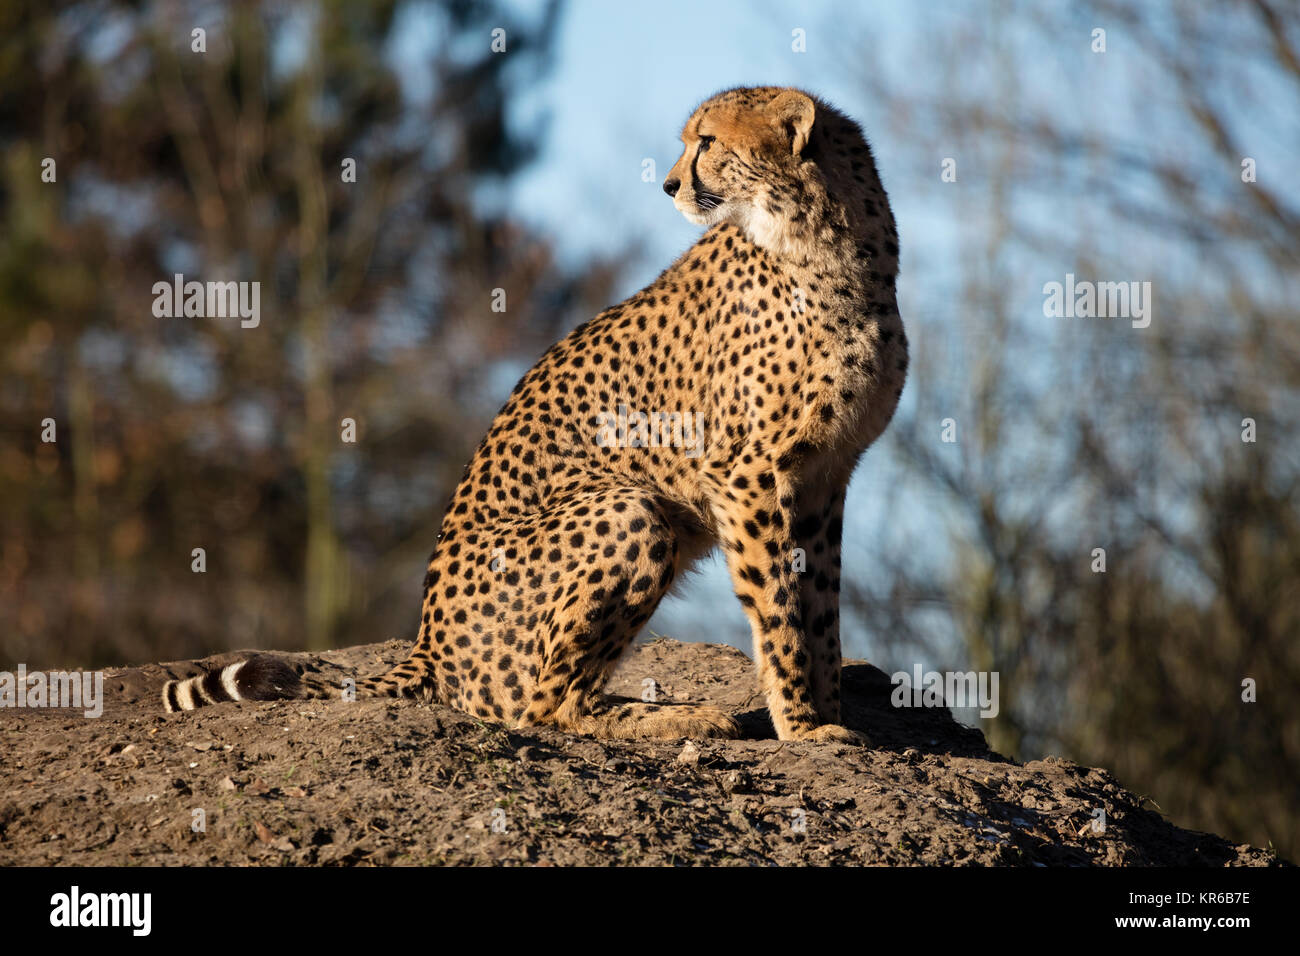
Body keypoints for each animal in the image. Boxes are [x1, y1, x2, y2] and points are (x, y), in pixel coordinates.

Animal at [165, 87, 904, 749]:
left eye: (708, 141)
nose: (669, 185)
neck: (831, 240)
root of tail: (427, 643)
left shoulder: (823, 476)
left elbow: (820, 607)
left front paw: (831, 713)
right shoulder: (745, 473)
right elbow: (779, 607)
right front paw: (802, 726)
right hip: (634, 508)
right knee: (542, 707)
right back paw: (676, 718)